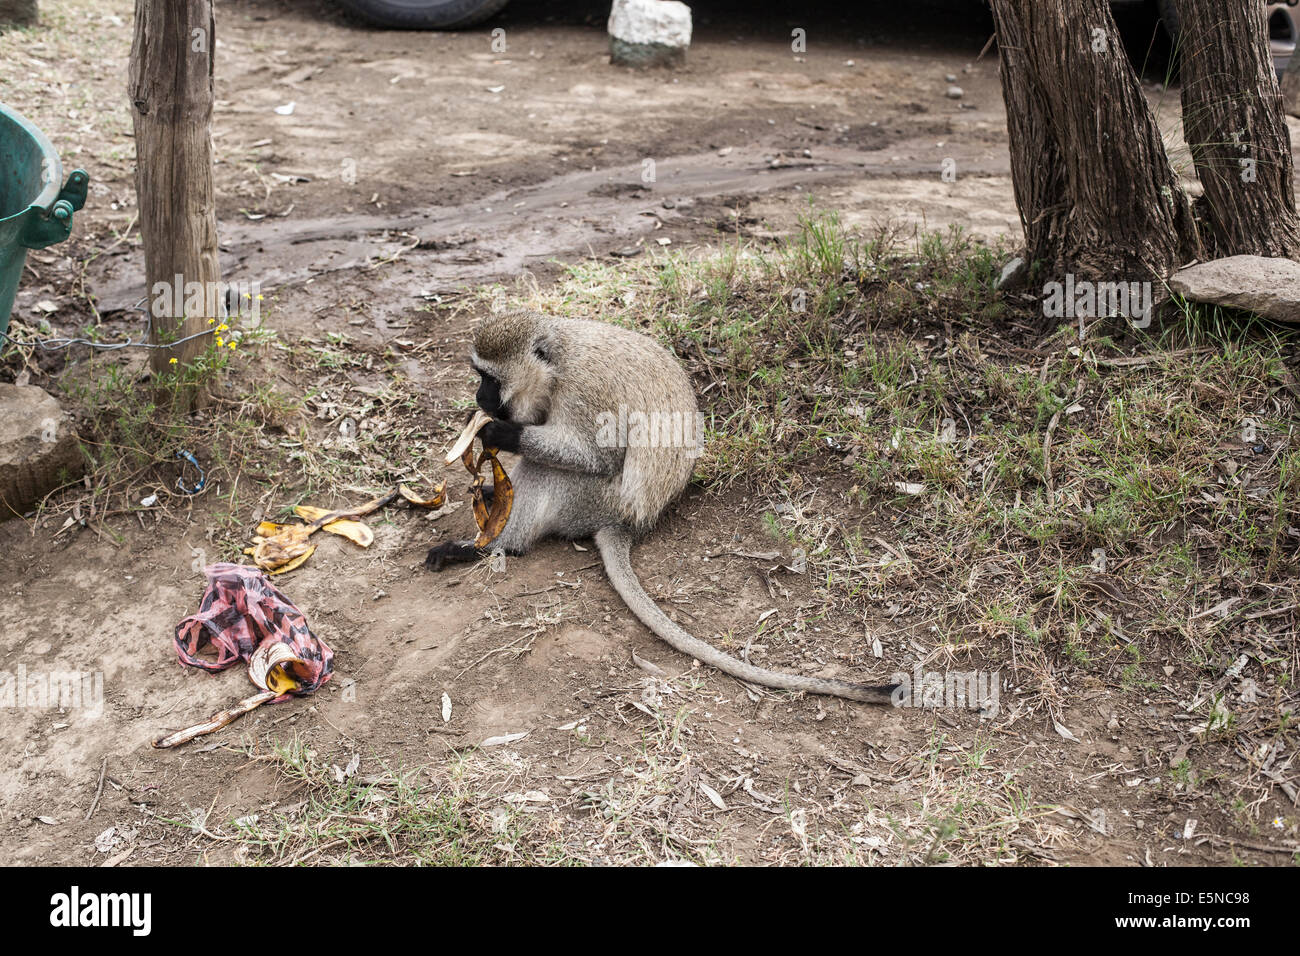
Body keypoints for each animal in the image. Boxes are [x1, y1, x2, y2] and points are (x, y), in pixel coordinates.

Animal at [425, 309, 897, 705]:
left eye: (489, 378)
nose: (479, 398)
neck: (557, 365)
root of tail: (635, 521)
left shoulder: (585, 393)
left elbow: (599, 457)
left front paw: (498, 433)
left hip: (594, 502)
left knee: (550, 471)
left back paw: (490, 545)